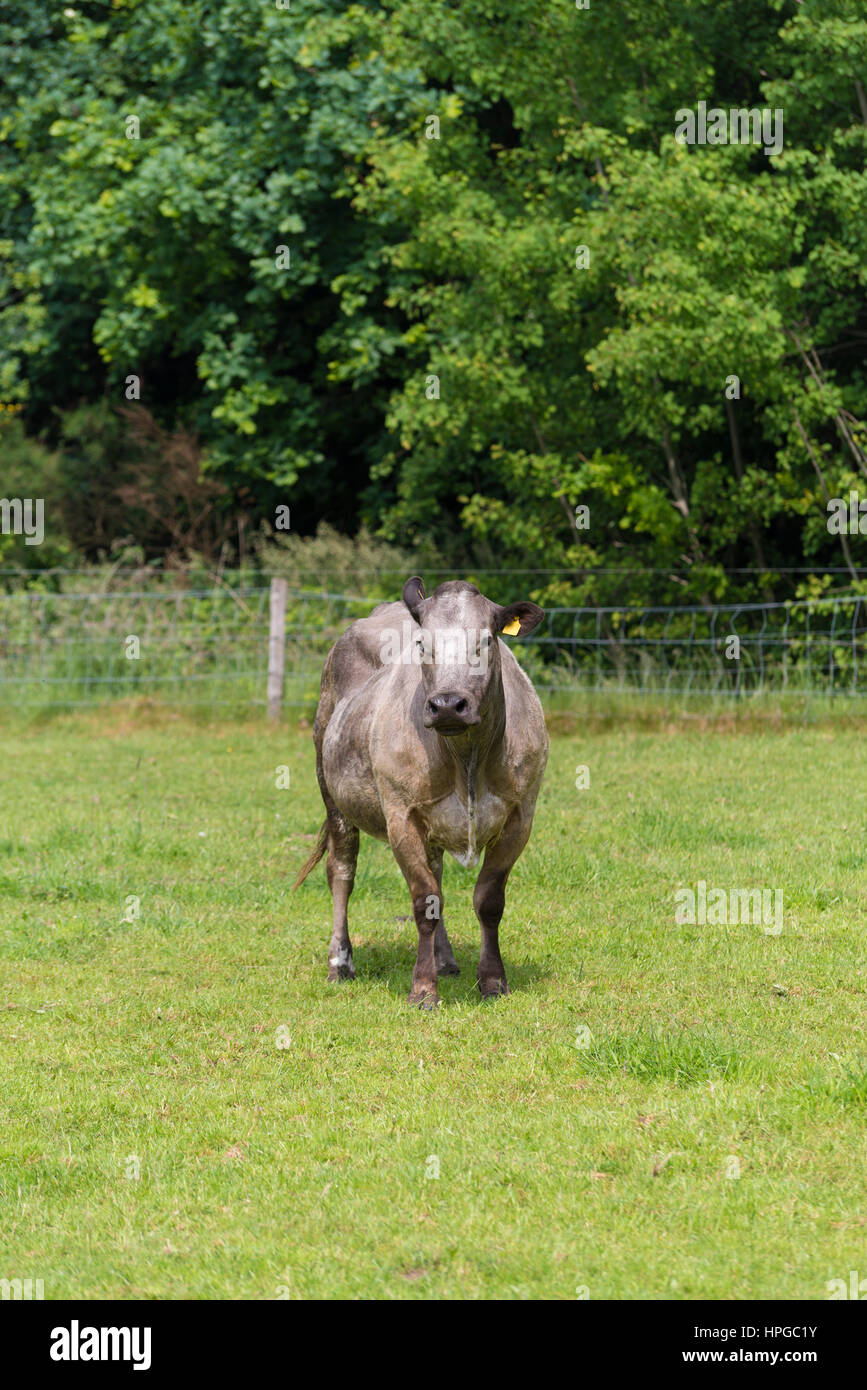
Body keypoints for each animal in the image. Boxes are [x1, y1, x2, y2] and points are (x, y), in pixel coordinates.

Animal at [293, 577, 548, 1008]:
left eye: (486, 641)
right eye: (421, 644)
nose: (447, 705)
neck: (467, 760)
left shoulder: (521, 815)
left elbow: (487, 901)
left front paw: (493, 980)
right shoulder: (402, 816)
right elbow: (423, 902)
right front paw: (423, 989)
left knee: (437, 873)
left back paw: (444, 959)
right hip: (332, 793)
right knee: (342, 872)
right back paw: (340, 963)